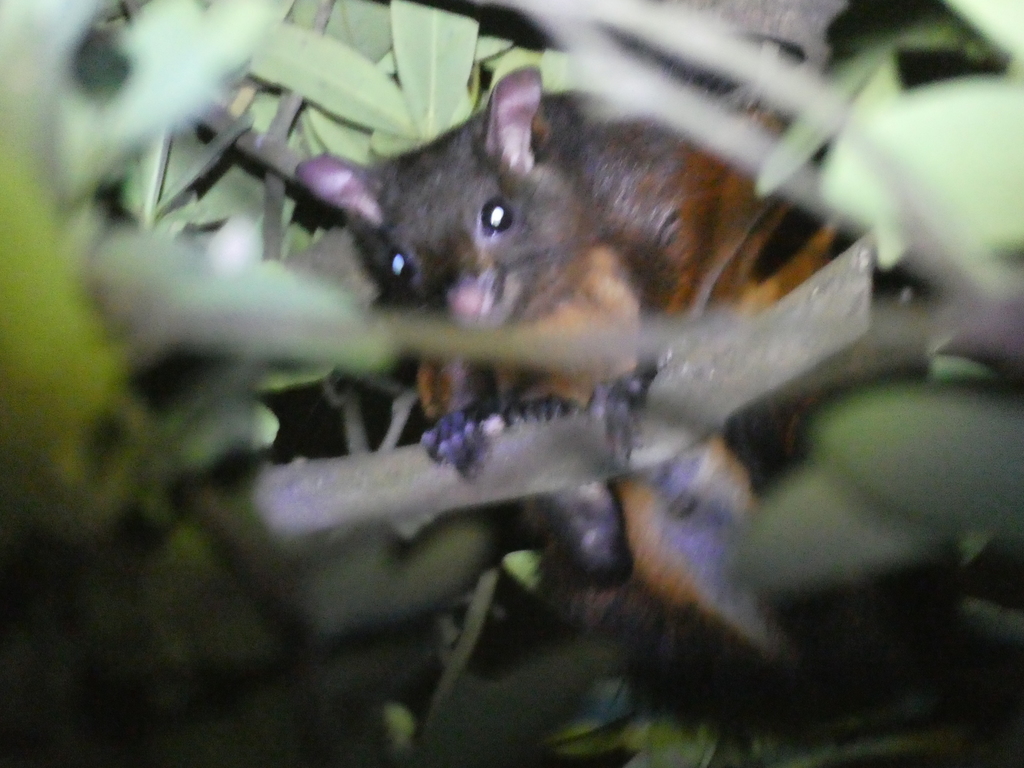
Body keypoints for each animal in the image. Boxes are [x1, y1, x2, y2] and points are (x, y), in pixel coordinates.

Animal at [295, 68, 979, 725]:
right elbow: (461, 372)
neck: (546, 293)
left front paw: (634, 379)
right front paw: (466, 422)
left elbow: (672, 262)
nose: (464, 303)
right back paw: (572, 488)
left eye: (497, 215)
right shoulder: (444, 338)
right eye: (401, 262)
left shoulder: (648, 181)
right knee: (606, 561)